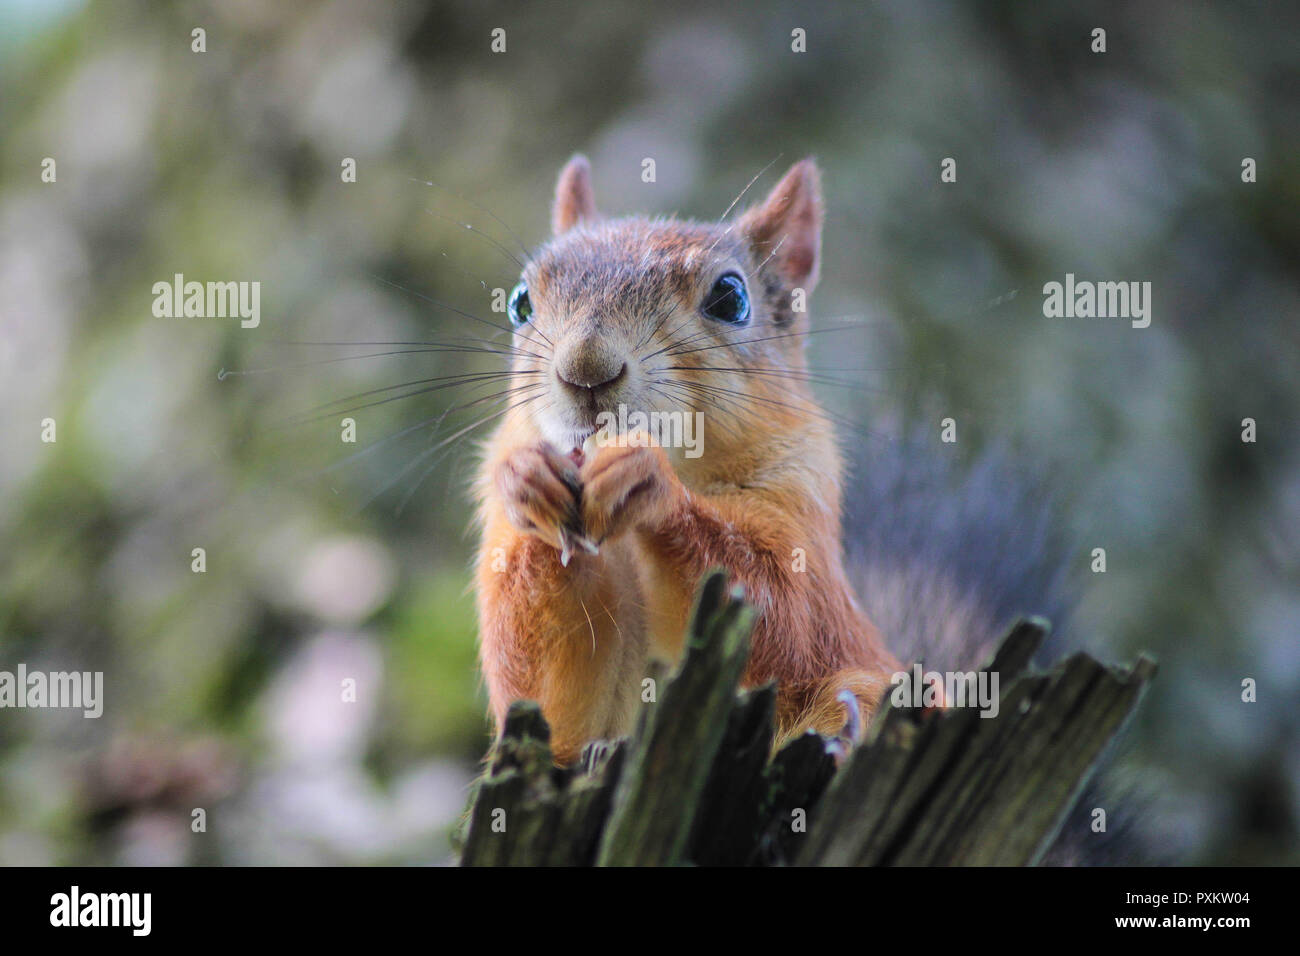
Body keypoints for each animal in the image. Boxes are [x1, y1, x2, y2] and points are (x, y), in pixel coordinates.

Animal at [473, 155, 904, 765]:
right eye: (520, 302)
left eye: (731, 299)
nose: (585, 370)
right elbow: (548, 699)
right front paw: (526, 479)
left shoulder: (805, 501)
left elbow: (787, 620)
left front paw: (648, 483)